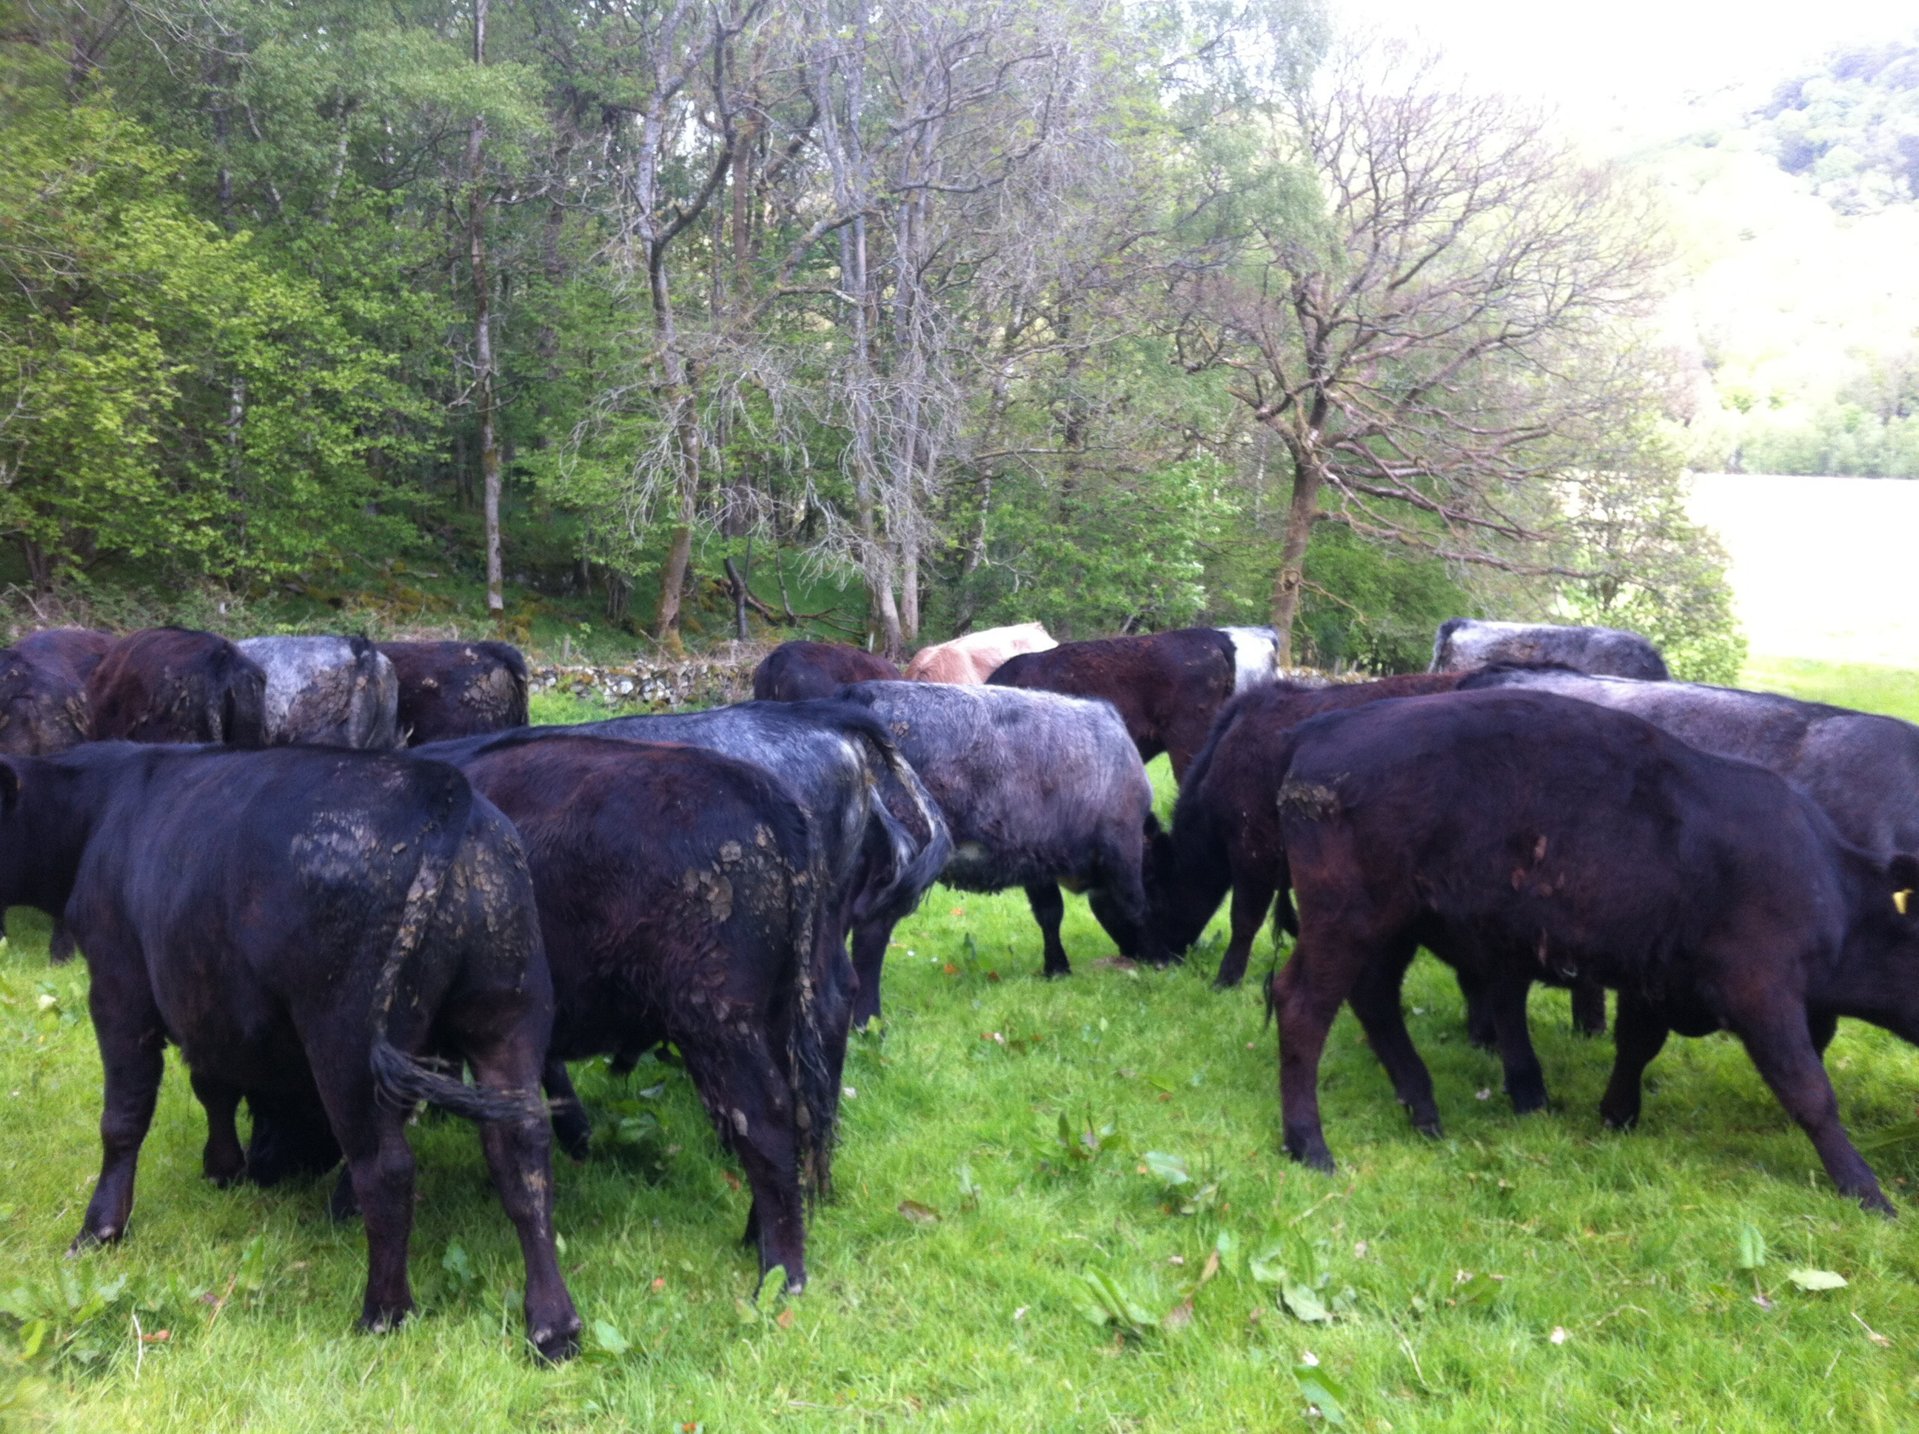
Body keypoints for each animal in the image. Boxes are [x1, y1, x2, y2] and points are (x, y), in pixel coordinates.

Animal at [0, 742, 580, 1358]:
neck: (99, 807)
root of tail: (445, 792)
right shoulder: (209, 999)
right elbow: (213, 1086)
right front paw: (223, 1168)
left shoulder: (119, 986)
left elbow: (123, 1119)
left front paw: (99, 1230)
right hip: (508, 1014)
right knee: (521, 1154)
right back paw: (552, 1325)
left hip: (346, 1039)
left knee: (388, 1168)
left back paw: (384, 1312)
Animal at [447, 734, 839, 1291]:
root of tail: (764, 796)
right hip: (780, 1012)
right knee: (798, 1113)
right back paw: (757, 1238)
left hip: (719, 1025)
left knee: (765, 1118)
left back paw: (782, 1272)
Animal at [837, 680, 1168, 1016]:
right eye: (1158, 879)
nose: (1175, 953)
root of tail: (862, 695)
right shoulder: (1123, 844)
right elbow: (1135, 904)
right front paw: (1158, 959)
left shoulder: (1037, 859)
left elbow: (1050, 914)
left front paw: (1056, 968)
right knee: (871, 929)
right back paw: (868, 1016)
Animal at [1263, 688, 1919, 1215]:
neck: (1832, 888)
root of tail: (1325, 725)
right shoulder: (1762, 991)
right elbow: (1809, 1091)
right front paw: (1866, 1190)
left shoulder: (1657, 975)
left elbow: (1636, 1046)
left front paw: (1617, 1113)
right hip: (1347, 918)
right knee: (1302, 1006)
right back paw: (1309, 1143)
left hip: (1394, 923)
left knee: (1375, 1000)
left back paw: (1422, 1109)